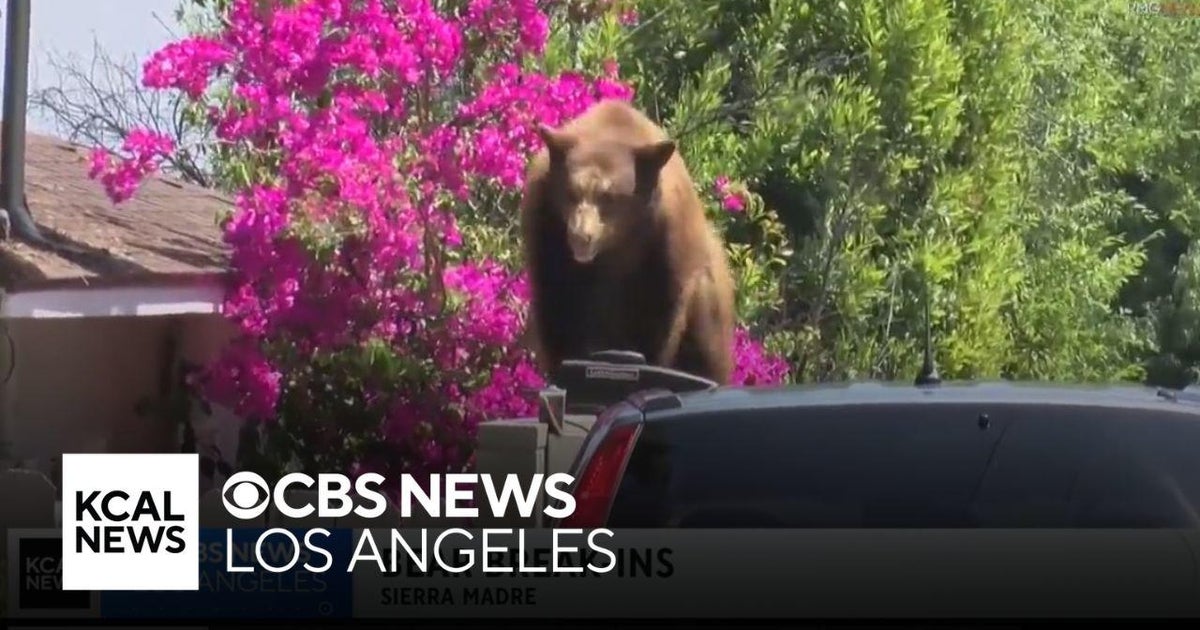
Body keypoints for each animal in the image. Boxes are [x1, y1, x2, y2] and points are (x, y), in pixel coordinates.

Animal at [518, 99, 736, 385]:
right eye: (570, 193)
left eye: (610, 197)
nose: (580, 236)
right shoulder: (547, 231)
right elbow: (558, 306)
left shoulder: (665, 245)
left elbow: (658, 321)